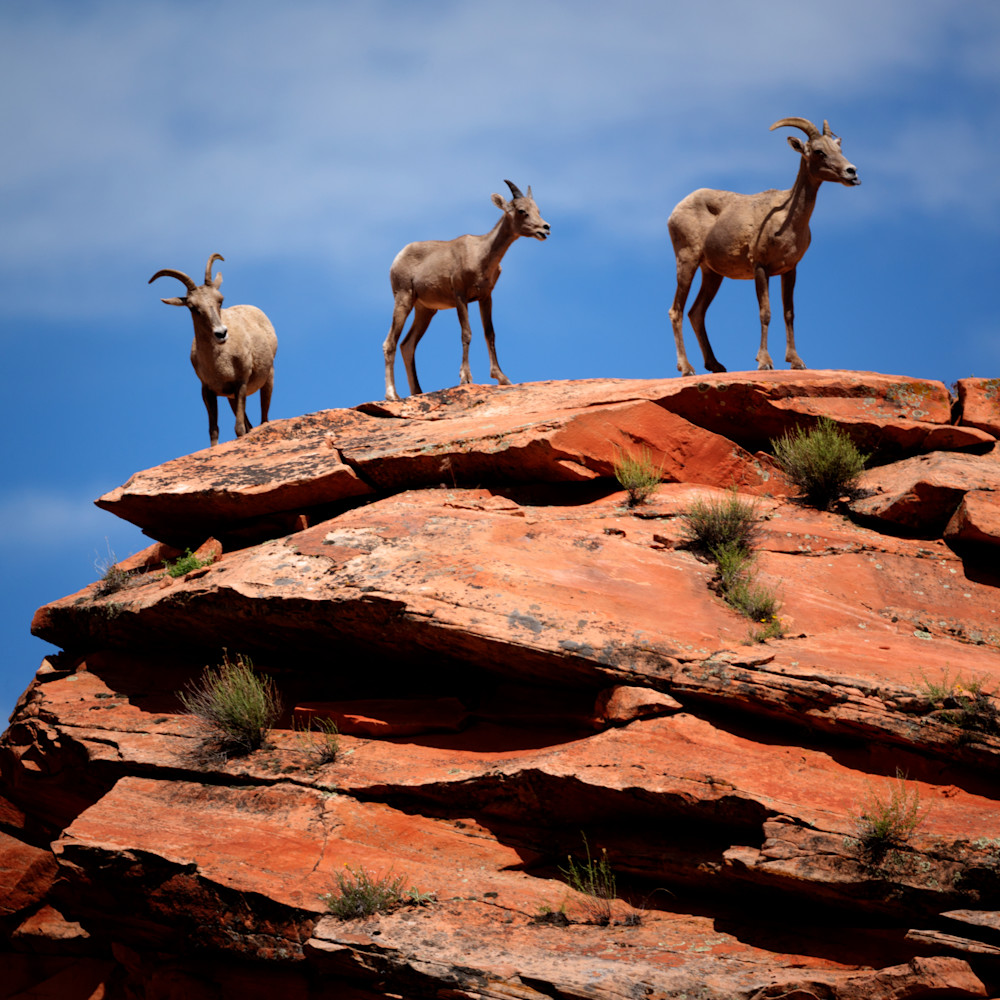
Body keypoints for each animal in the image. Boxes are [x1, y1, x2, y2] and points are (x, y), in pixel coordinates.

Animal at [149, 253, 277, 446]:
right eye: (193, 307)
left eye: (220, 300)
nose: (221, 333)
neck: (220, 363)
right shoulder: (208, 391)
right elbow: (214, 430)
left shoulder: (240, 384)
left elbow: (239, 428)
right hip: (232, 398)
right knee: (251, 425)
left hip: (267, 378)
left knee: (264, 419)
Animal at [382, 180, 550, 401]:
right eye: (522, 211)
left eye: (538, 210)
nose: (546, 228)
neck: (480, 255)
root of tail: (398, 257)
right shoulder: (460, 296)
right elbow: (466, 333)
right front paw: (466, 378)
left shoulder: (485, 297)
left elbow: (490, 333)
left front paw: (502, 377)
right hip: (404, 299)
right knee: (390, 342)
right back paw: (392, 395)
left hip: (425, 310)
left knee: (407, 345)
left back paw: (417, 391)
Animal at [668, 117, 860, 376]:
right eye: (819, 151)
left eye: (839, 147)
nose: (852, 172)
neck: (786, 220)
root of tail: (676, 210)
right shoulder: (761, 267)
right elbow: (765, 313)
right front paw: (764, 362)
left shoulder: (790, 270)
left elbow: (789, 313)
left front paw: (797, 362)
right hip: (687, 261)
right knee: (676, 311)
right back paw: (687, 369)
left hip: (712, 274)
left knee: (696, 312)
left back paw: (716, 366)